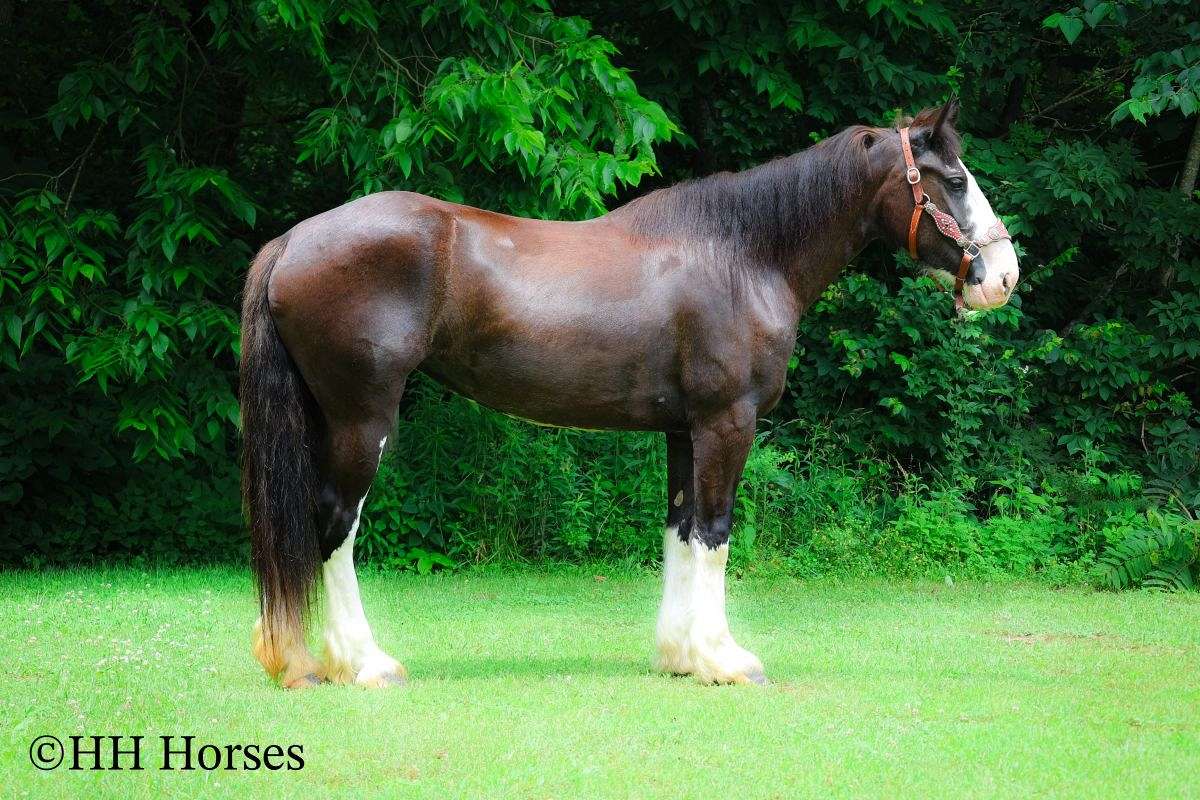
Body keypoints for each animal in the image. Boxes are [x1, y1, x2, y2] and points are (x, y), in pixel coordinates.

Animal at [240, 100, 1018, 688]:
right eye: (952, 179)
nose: (1004, 275)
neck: (741, 255)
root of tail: (295, 240)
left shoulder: (684, 430)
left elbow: (681, 531)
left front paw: (681, 655)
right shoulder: (727, 424)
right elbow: (715, 533)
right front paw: (724, 660)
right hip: (362, 419)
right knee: (335, 524)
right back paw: (365, 663)